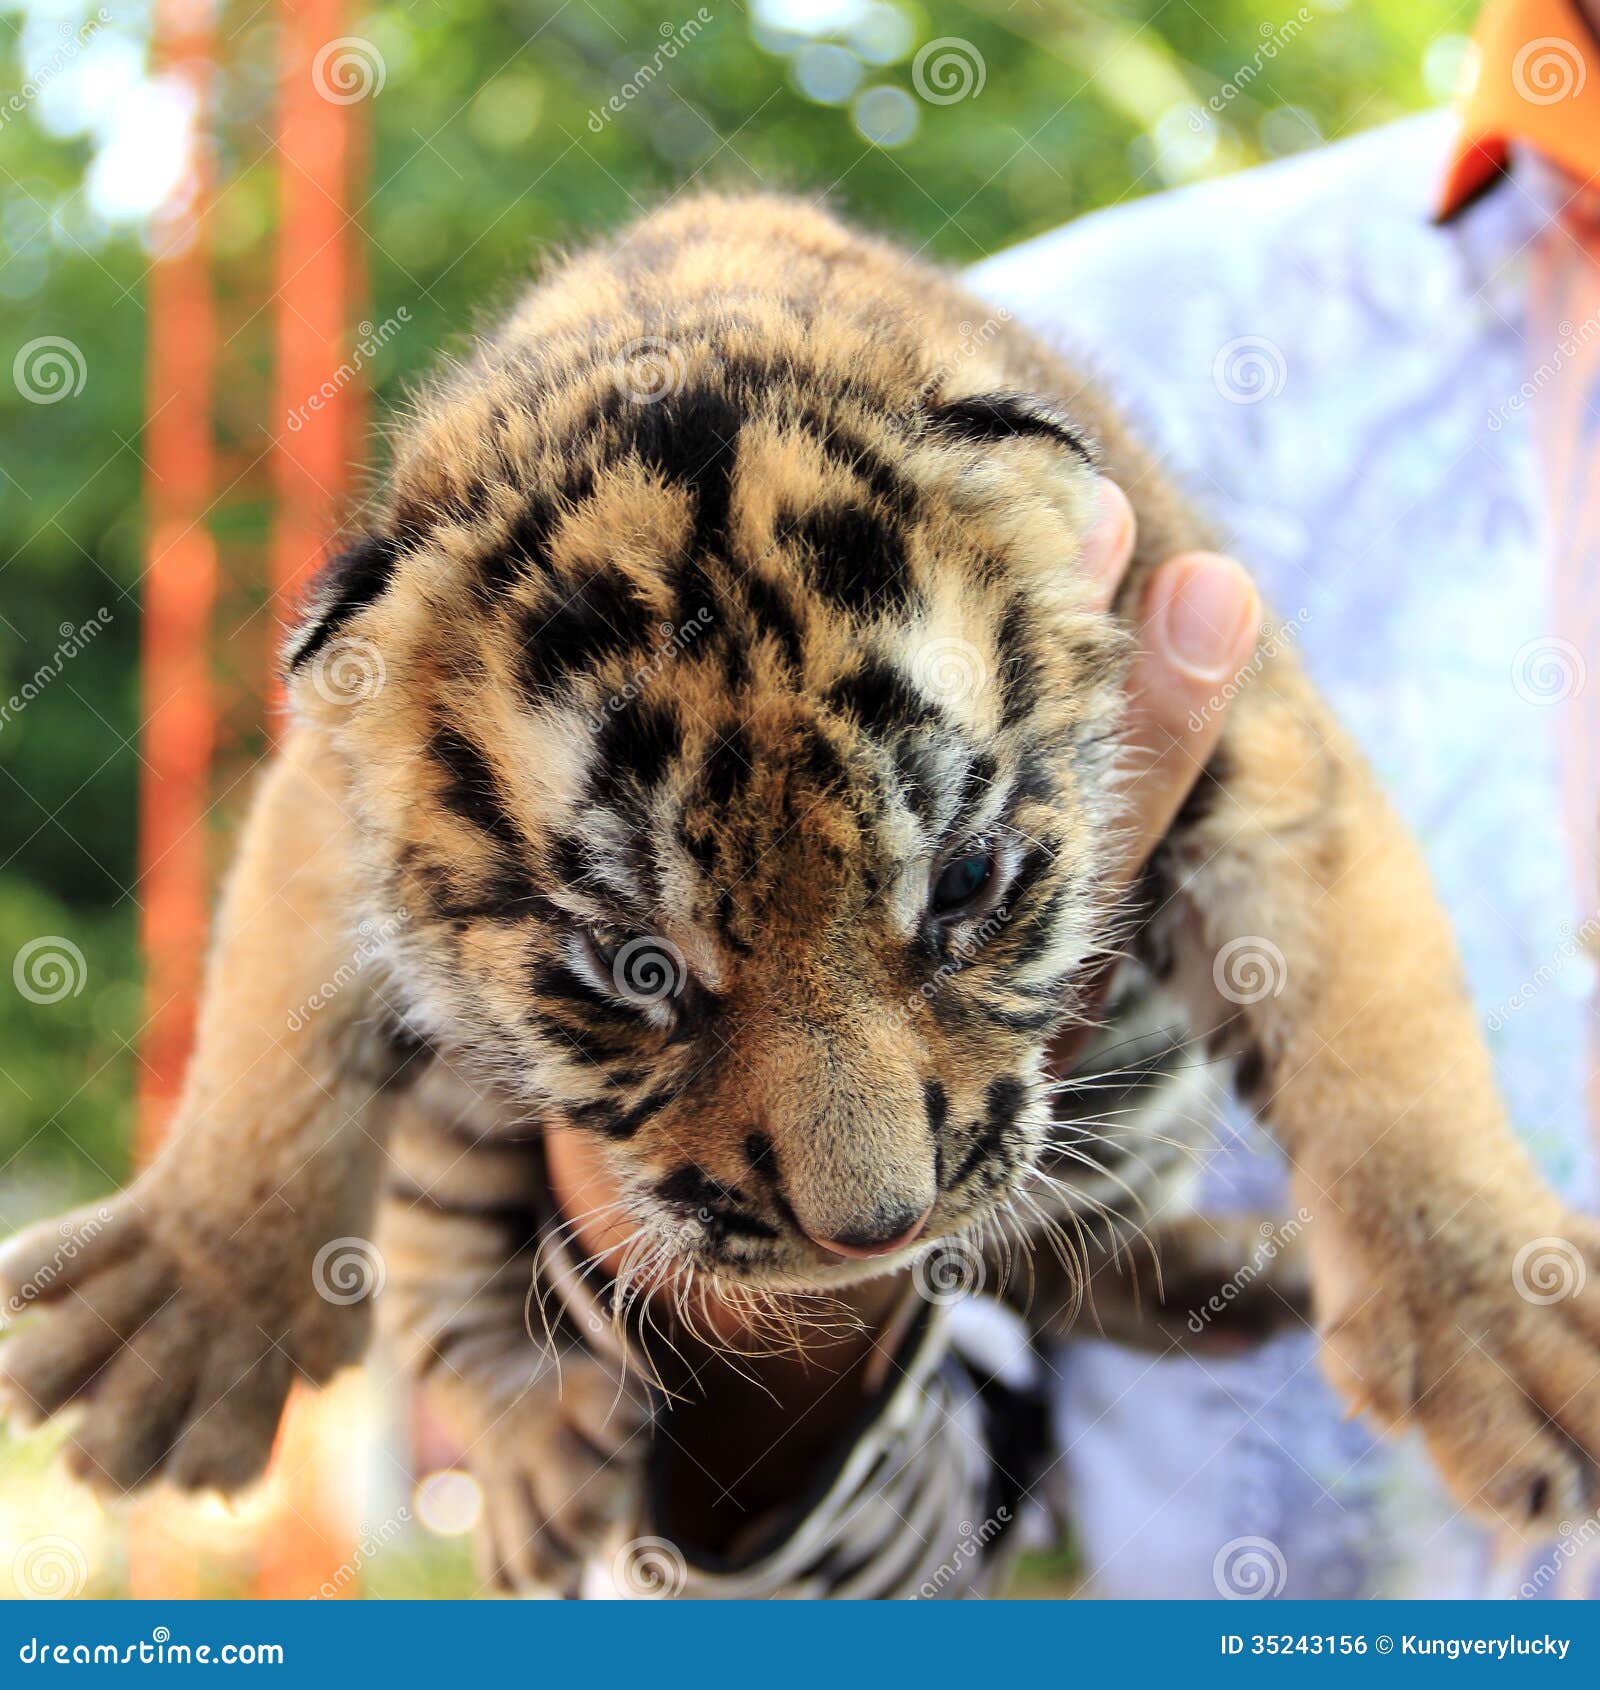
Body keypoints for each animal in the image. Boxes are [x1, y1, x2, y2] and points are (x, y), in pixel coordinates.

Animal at [4, 192, 1599, 1596]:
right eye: (636, 968)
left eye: (965, 882)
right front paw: (191, 1302)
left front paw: (1508, 1319)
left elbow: (1380, 1026)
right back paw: (535, 1464)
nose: (876, 1229)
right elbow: (270, 1044)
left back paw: (1242, 1279)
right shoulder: (325, 799)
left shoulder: (1256, 718)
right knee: (462, 1295)